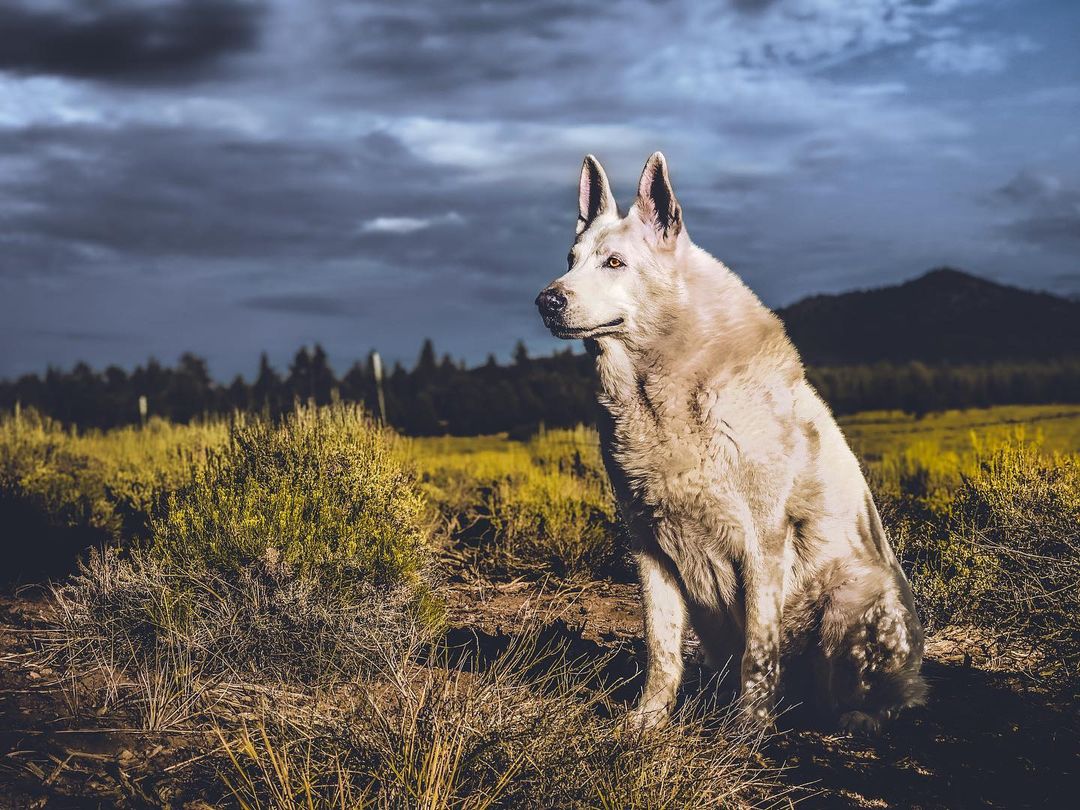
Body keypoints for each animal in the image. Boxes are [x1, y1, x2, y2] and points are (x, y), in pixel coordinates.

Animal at [535, 153, 925, 733]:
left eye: (614, 262)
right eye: (570, 259)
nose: (546, 300)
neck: (661, 385)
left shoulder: (762, 543)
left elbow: (760, 653)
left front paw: (748, 731)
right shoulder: (647, 546)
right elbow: (661, 648)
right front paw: (648, 720)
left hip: (850, 603)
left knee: (877, 697)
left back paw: (857, 717)